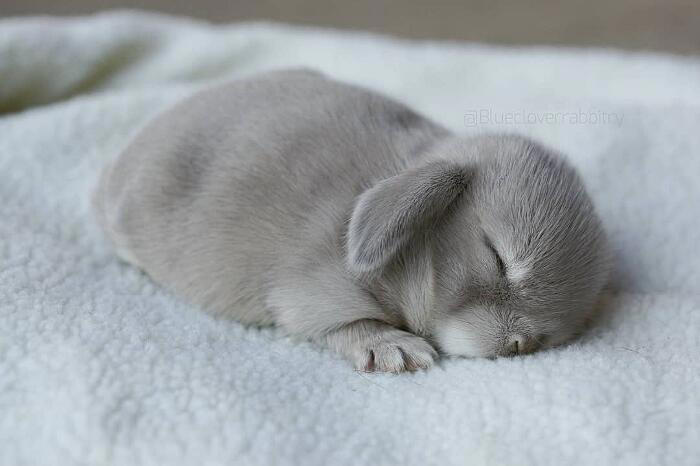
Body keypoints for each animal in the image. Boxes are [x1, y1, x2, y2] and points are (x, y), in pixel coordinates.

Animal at [93, 68, 610, 372]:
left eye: (564, 327)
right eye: (497, 257)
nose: (520, 345)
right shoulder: (313, 290)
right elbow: (343, 322)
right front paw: (393, 347)